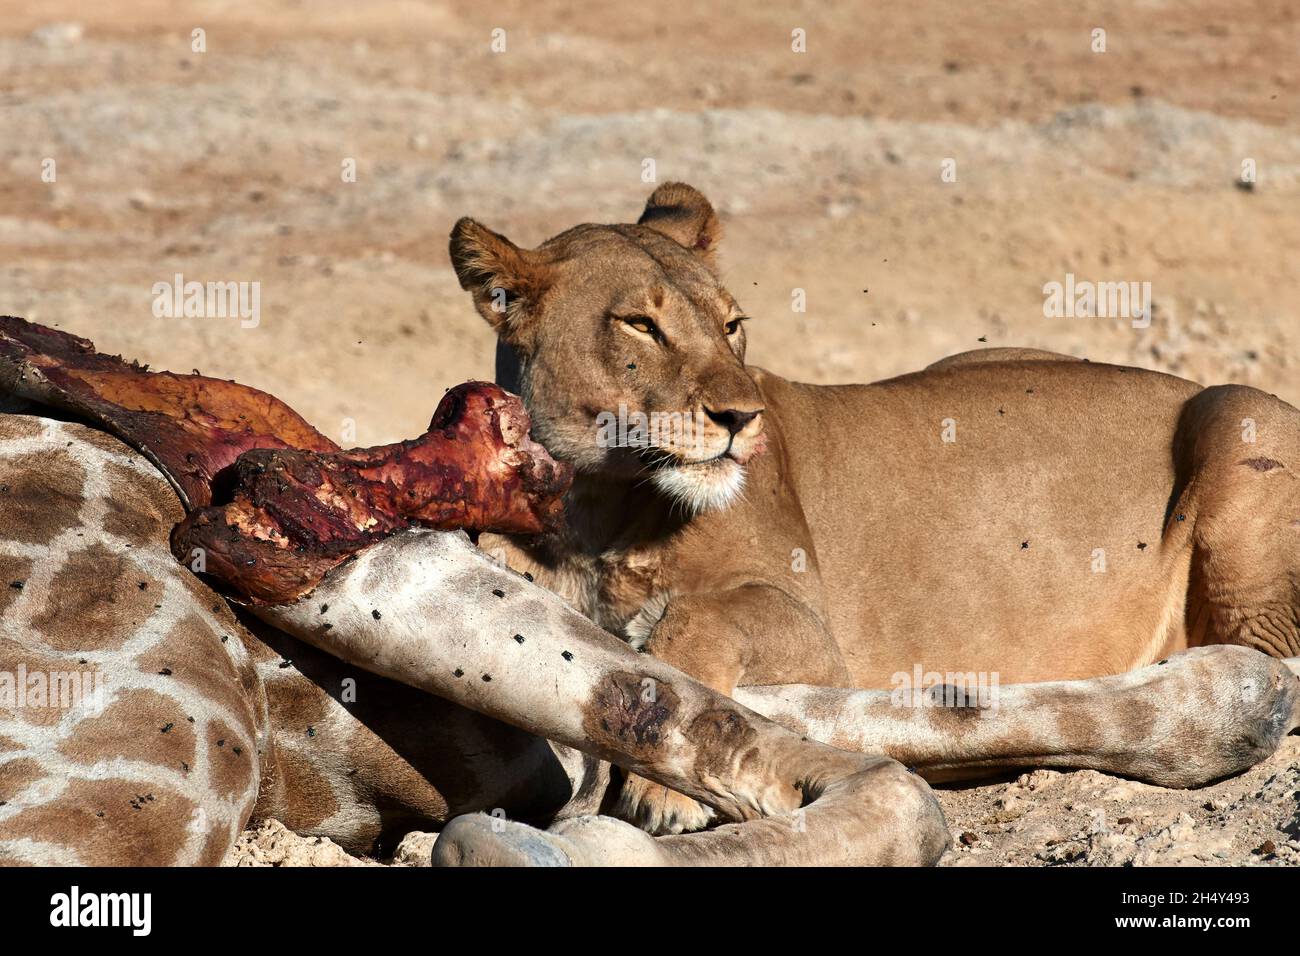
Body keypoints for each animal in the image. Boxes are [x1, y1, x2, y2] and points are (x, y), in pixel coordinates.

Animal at [452, 183, 1300, 834]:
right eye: (641, 324)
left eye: (731, 325)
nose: (742, 417)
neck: (595, 510)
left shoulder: (813, 630)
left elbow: (692, 624)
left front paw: (662, 790)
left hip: (1239, 418)